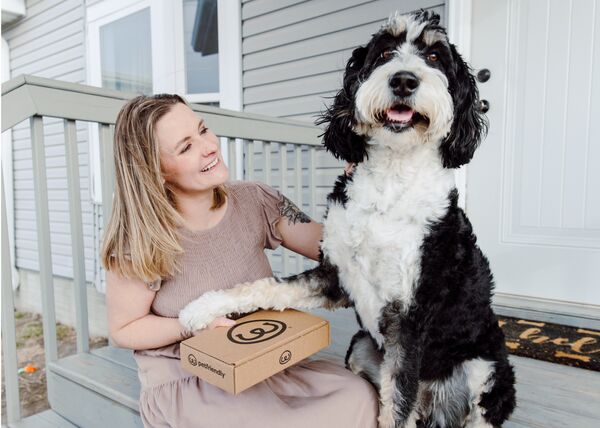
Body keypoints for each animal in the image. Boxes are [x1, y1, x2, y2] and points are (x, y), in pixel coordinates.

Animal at [179, 10, 516, 428]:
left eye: (436, 57)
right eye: (385, 52)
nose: (403, 80)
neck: (390, 181)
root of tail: (432, 401)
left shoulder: (409, 318)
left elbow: (396, 404)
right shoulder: (335, 276)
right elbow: (265, 287)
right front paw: (201, 308)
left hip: (486, 369)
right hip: (360, 348)